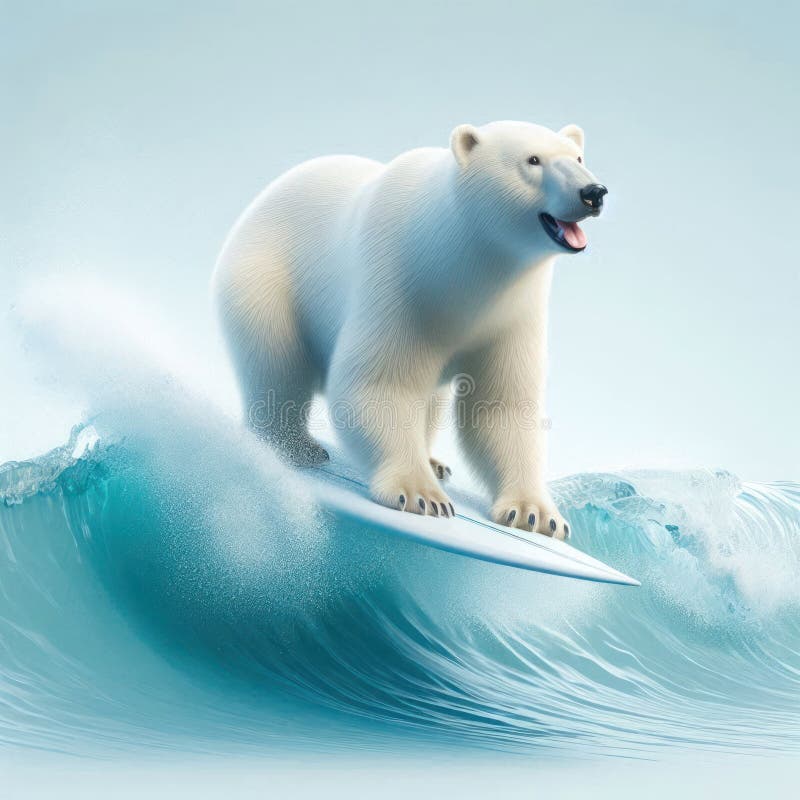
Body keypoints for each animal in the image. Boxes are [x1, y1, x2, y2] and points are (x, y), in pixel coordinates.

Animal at [212, 120, 607, 540]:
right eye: (532, 160)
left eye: (579, 157)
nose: (593, 192)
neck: (466, 258)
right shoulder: (400, 281)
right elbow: (383, 385)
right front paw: (421, 495)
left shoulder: (513, 313)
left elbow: (503, 406)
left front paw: (536, 514)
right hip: (265, 276)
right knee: (277, 363)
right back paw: (291, 446)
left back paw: (434, 461)